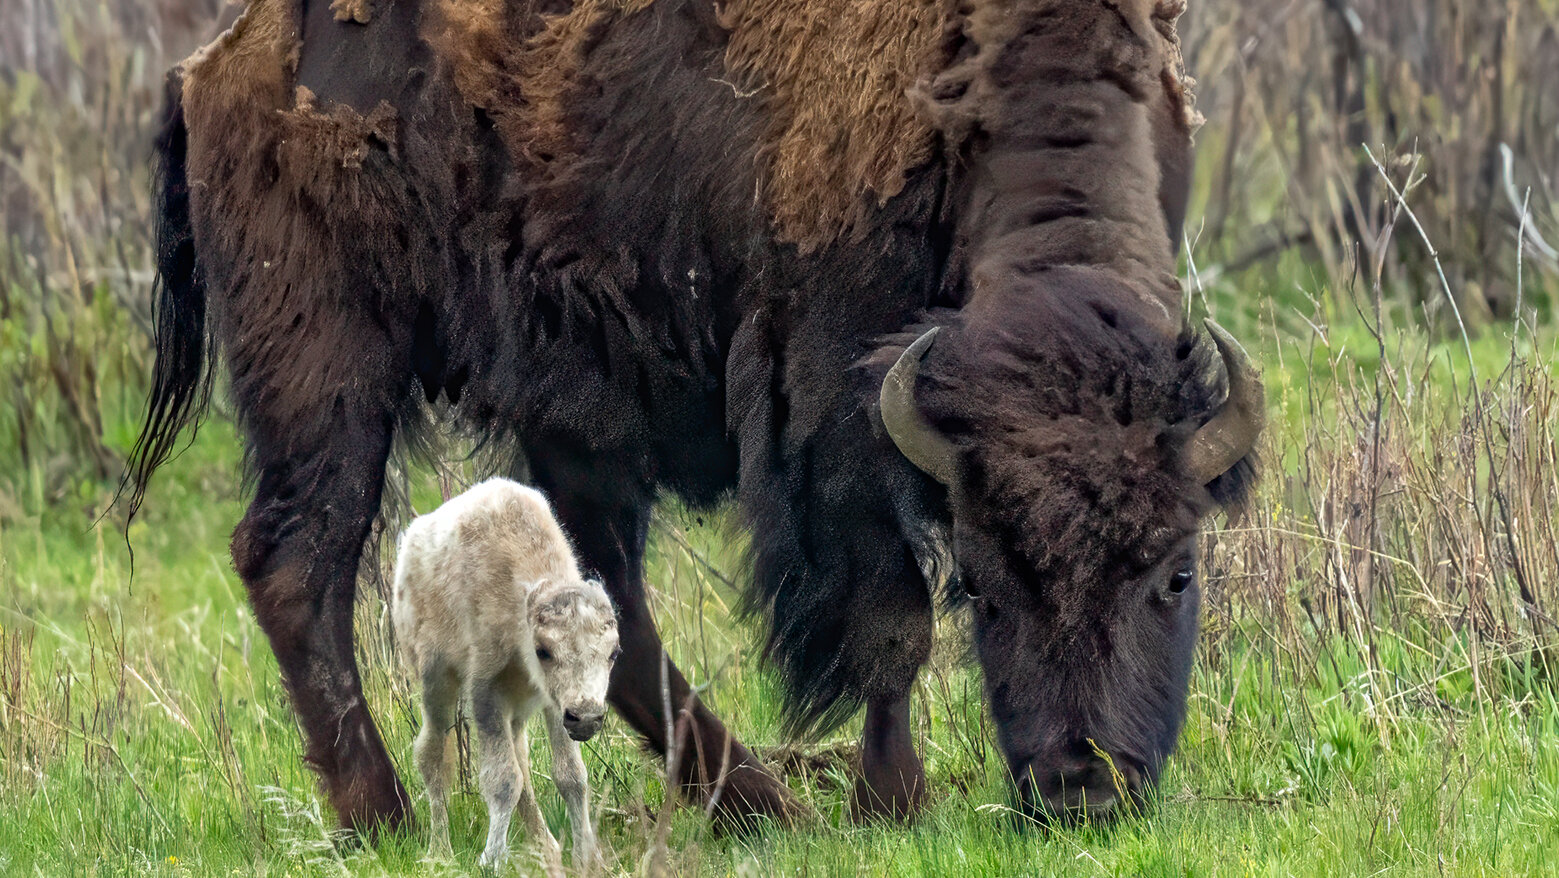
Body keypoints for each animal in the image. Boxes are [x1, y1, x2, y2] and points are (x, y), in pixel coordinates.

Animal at [126, 0, 1261, 834]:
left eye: (1177, 572)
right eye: (980, 583)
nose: (1083, 787)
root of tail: (216, 63)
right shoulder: (835, 405)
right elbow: (891, 621)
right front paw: (891, 803)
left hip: (562, 413)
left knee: (598, 601)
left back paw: (753, 803)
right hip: (330, 369)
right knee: (295, 562)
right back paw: (387, 815)